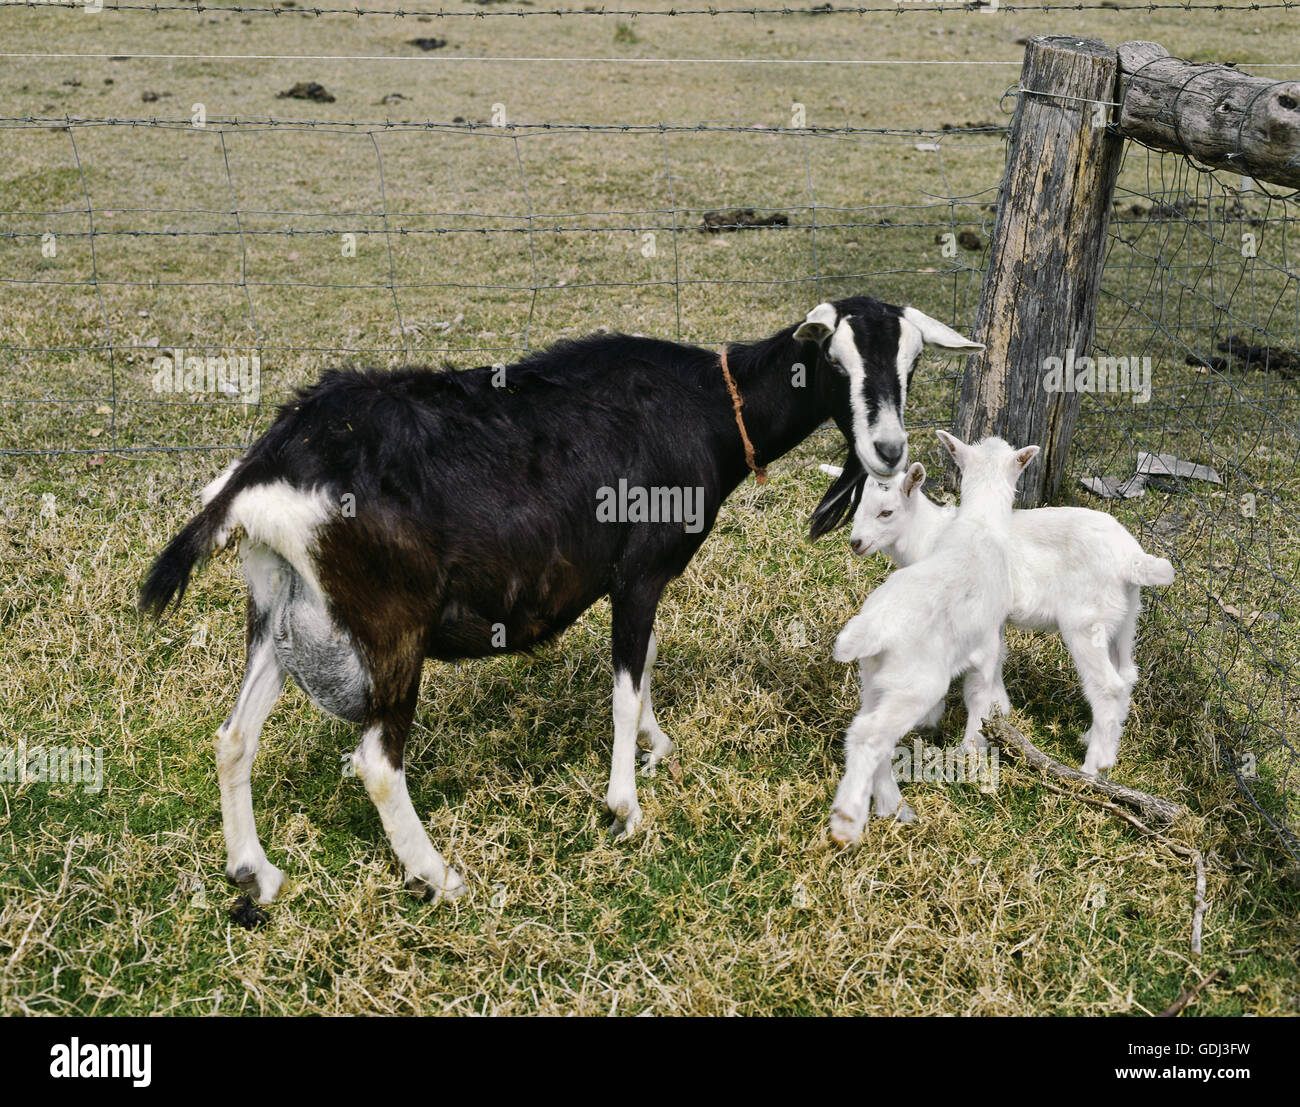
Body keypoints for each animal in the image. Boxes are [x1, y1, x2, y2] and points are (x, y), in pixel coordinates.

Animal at [139, 297, 982, 903]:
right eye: (832, 360)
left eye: (910, 361)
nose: (888, 450)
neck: (709, 403)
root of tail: (267, 470)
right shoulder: (639, 571)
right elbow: (625, 683)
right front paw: (625, 806)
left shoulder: (640, 582)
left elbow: (646, 661)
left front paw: (659, 747)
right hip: (390, 625)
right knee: (377, 761)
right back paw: (439, 875)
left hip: (278, 614)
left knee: (233, 737)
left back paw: (254, 871)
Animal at [829, 432, 1038, 846]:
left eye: (886, 512)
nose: (855, 543)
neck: (978, 525)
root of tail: (869, 630)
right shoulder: (984, 642)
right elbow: (978, 690)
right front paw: (973, 747)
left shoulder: (992, 629)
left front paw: (998, 711)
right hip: (916, 683)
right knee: (869, 735)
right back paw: (848, 821)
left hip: (877, 680)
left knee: (868, 730)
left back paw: (892, 806)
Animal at [840, 459, 1174, 777]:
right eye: (856, 507)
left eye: (886, 512)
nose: (856, 543)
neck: (928, 534)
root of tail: (1132, 559)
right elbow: (998, 656)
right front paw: (999, 709)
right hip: (1125, 618)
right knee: (1126, 675)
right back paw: (1096, 740)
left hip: (1085, 621)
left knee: (1108, 685)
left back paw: (1094, 766)